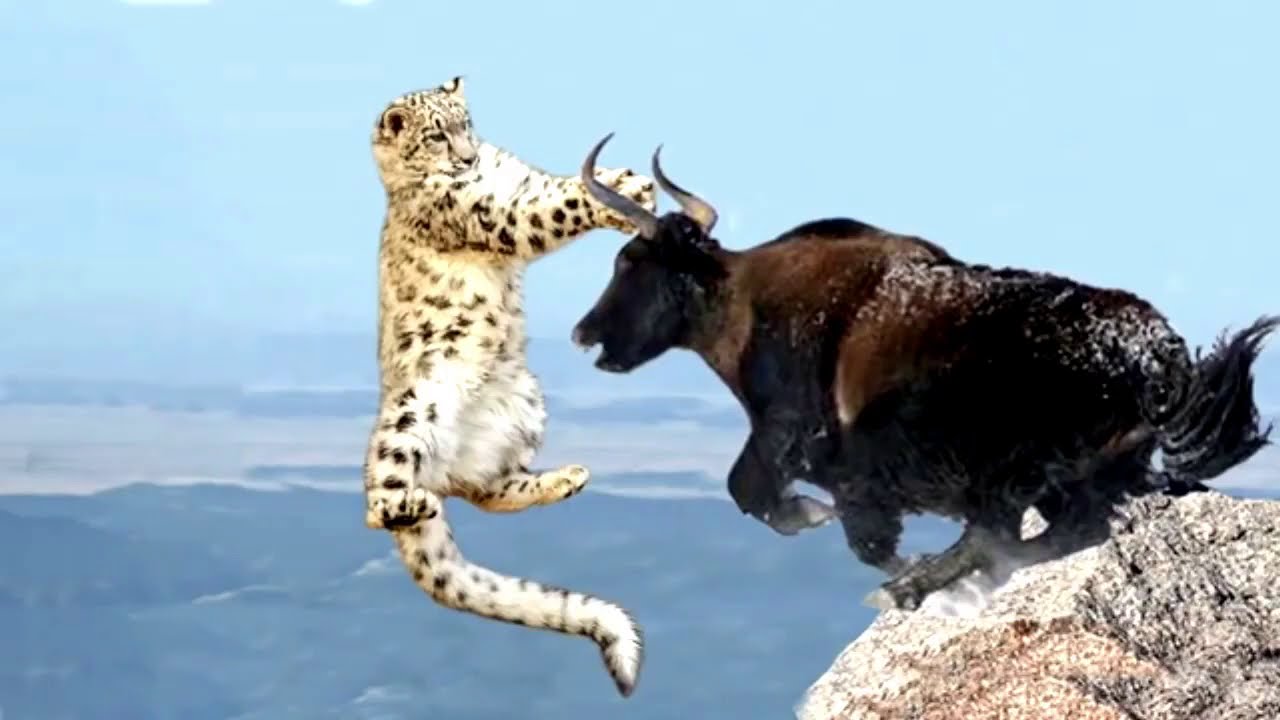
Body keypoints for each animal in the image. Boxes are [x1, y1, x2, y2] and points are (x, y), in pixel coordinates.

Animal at [362, 76, 657, 698]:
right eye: (435, 135)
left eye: (465, 124)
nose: (467, 158)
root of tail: (448, 465)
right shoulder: (488, 212)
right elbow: (551, 208)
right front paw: (617, 192)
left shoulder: (521, 179)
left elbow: (557, 185)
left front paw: (627, 185)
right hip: (413, 409)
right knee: (381, 500)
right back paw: (414, 500)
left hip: (525, 402)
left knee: (489, 489)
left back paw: (564, 478)